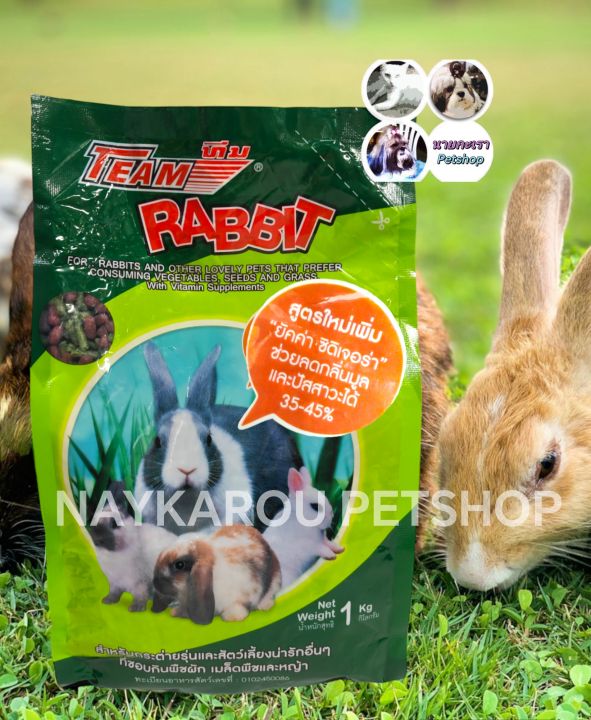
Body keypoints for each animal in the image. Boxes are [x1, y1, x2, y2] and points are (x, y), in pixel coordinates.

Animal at [88, 481, 178, 611]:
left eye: (114, 524)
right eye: (93, 520)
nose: (97, 536)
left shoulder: (140, 582)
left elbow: (141, 595)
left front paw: (136, 608)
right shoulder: (114, 583)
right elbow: (114, 593)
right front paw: (108, 601)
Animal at [152, 524, 281, 624]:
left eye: (179, 565)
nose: (155, 583)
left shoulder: (241, 595)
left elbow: (236, 606)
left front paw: (233, 617)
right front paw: (175, 612)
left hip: (275, 580)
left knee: (269, 595)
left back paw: (264, 606)